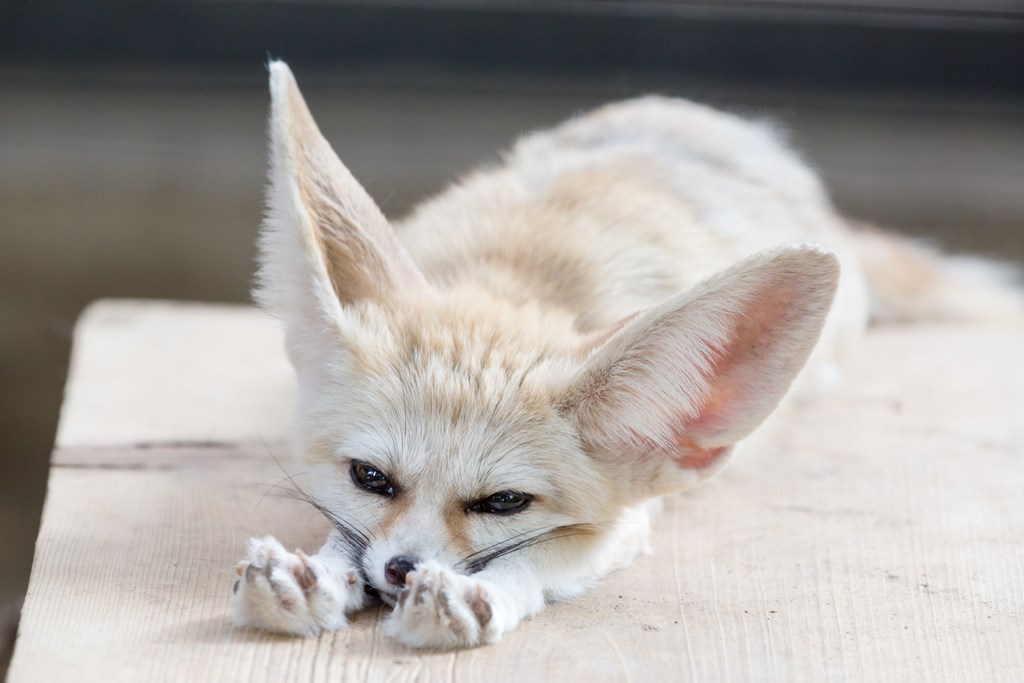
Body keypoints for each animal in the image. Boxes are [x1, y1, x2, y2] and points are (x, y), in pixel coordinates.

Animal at [231, 61, 1022, 649]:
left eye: (504, 502)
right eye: (372, 477)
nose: (400, 570)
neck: (519, 278)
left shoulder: (626, 518)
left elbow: (534, 559)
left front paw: (473, 592)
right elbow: (345, 533)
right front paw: (316, 574)